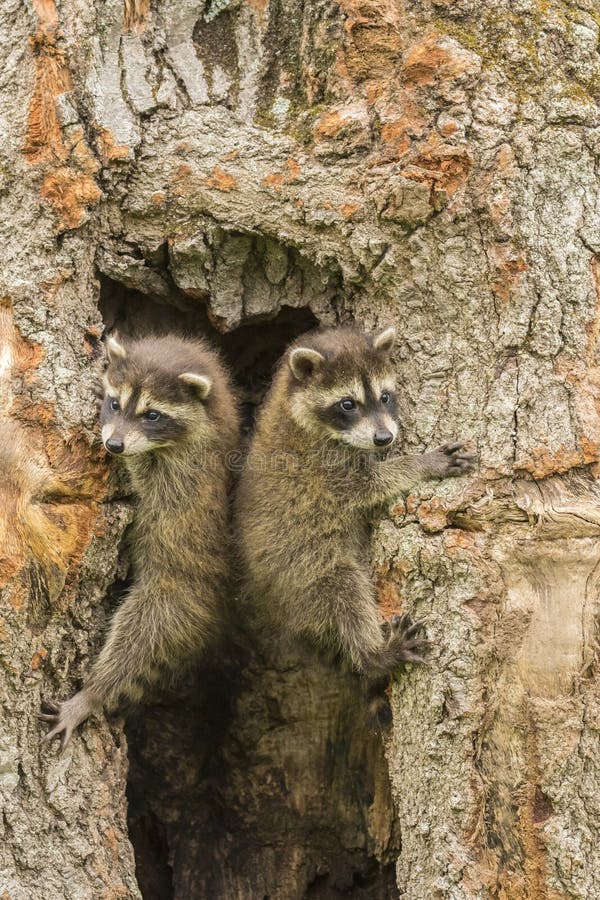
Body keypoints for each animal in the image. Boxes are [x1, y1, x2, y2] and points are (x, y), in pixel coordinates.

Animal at [41, 334, 240, 750]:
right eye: (116, 404)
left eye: (152, 415)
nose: (114, 445)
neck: (213, 414)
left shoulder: (185, 469)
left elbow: (146, 477)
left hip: (176, 602)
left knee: (137, 642)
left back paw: (94, 692)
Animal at [236, 325, 477, 719]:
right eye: (347, 404)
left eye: (385, 396)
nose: (384, 438)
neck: (291, 404)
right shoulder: (323, 463)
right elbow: (368, 485)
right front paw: (422, 462)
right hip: (305, 575)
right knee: (344, 594)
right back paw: (374, 654)